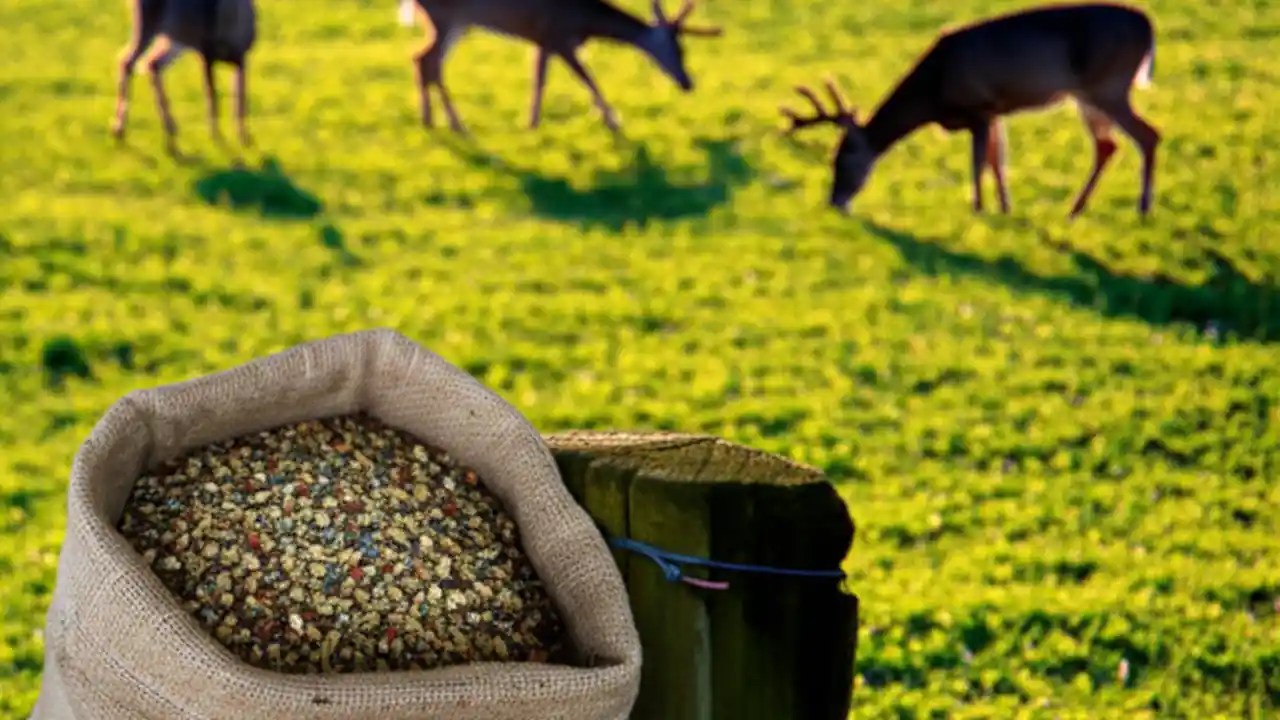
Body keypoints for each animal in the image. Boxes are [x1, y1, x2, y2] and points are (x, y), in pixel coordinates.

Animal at [111, 0, 257, 156]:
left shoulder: (242, 57)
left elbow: (240, 99)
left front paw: (245, 139)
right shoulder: (207, 54)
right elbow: (212, 97)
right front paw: (217, 138)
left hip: (174, 38)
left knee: (152, 63)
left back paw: (170, 135)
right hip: (148, 24)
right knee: (128, 62)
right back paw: (119, 130)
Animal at [397, 0, 721, 133]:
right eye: (678, 48)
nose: (687, 83)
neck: (586, 21)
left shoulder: (545, 42)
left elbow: (540, 79)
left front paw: (531, 121)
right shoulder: (558, 37)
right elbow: (586, 78)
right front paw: (614, 121)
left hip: (457, 23)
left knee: (423, 60)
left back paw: (432, 119)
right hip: (448, 19)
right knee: (428, 62)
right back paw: (454, 123)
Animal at [781, 2, 1161, 219]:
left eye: (841, 159)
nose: (835, 202)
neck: (934, 90)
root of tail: (1148, 25)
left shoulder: (979, 107)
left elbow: (978, 161)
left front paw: (978, 208)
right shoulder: (994, 111)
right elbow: (997, 160)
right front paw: (1005, 209)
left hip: (1109, 84)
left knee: (1149, 135)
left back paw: (1142, 208)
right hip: (1089, 96)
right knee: (1108, 146)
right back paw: (1074, 209)